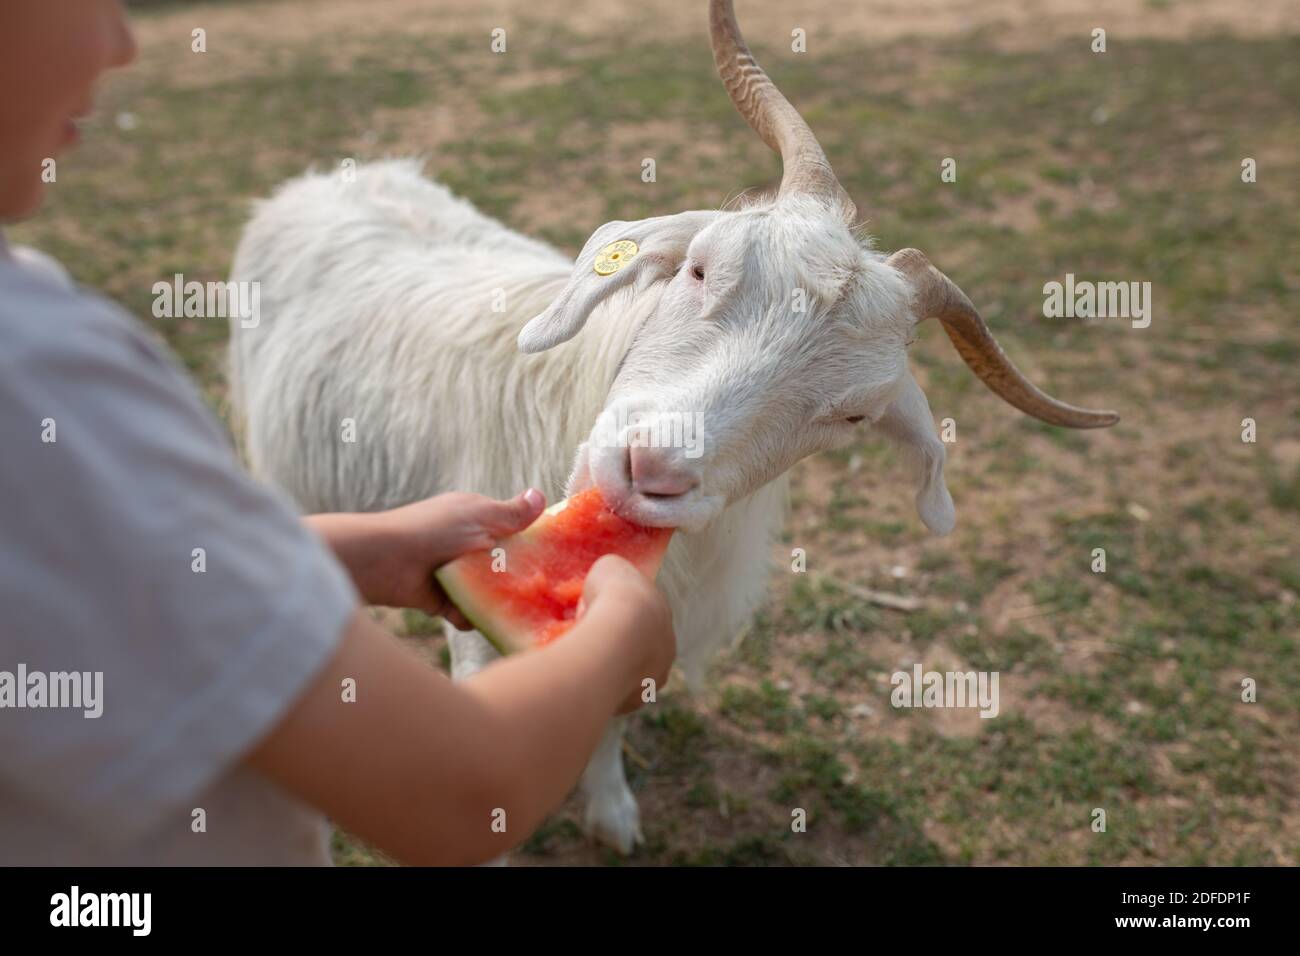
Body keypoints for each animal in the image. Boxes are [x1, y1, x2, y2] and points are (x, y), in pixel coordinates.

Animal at [228, 0, 1117, 855]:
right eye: (698, 268)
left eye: (853, 413)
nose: (651, 469)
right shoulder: (479, 657)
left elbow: (608, 722)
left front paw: (613, 812)